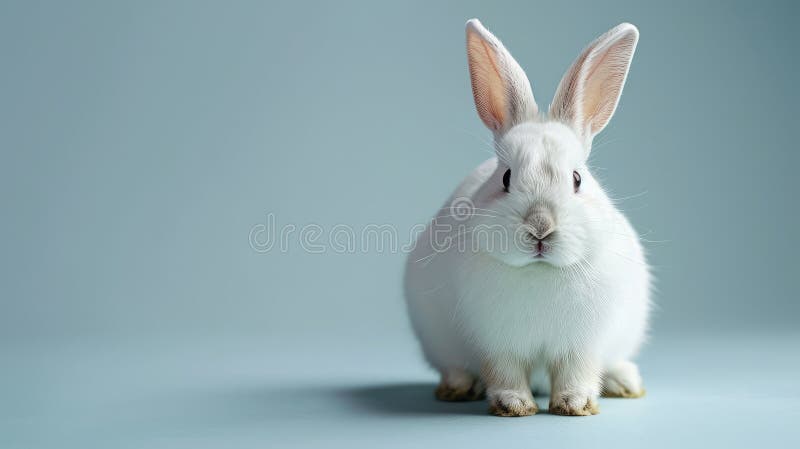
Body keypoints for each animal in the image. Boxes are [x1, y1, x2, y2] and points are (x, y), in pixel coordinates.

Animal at [404, 19, 650, 417]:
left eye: (577, 179)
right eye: (506, 178)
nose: (540, 228)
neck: (540, 271)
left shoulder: (582, 343)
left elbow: (577, 372)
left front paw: (576, 404)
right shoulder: (496, 341)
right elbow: (504, 373)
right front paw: (514, 405)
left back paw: (623, 383)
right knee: (456, 367)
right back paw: (457, 388)